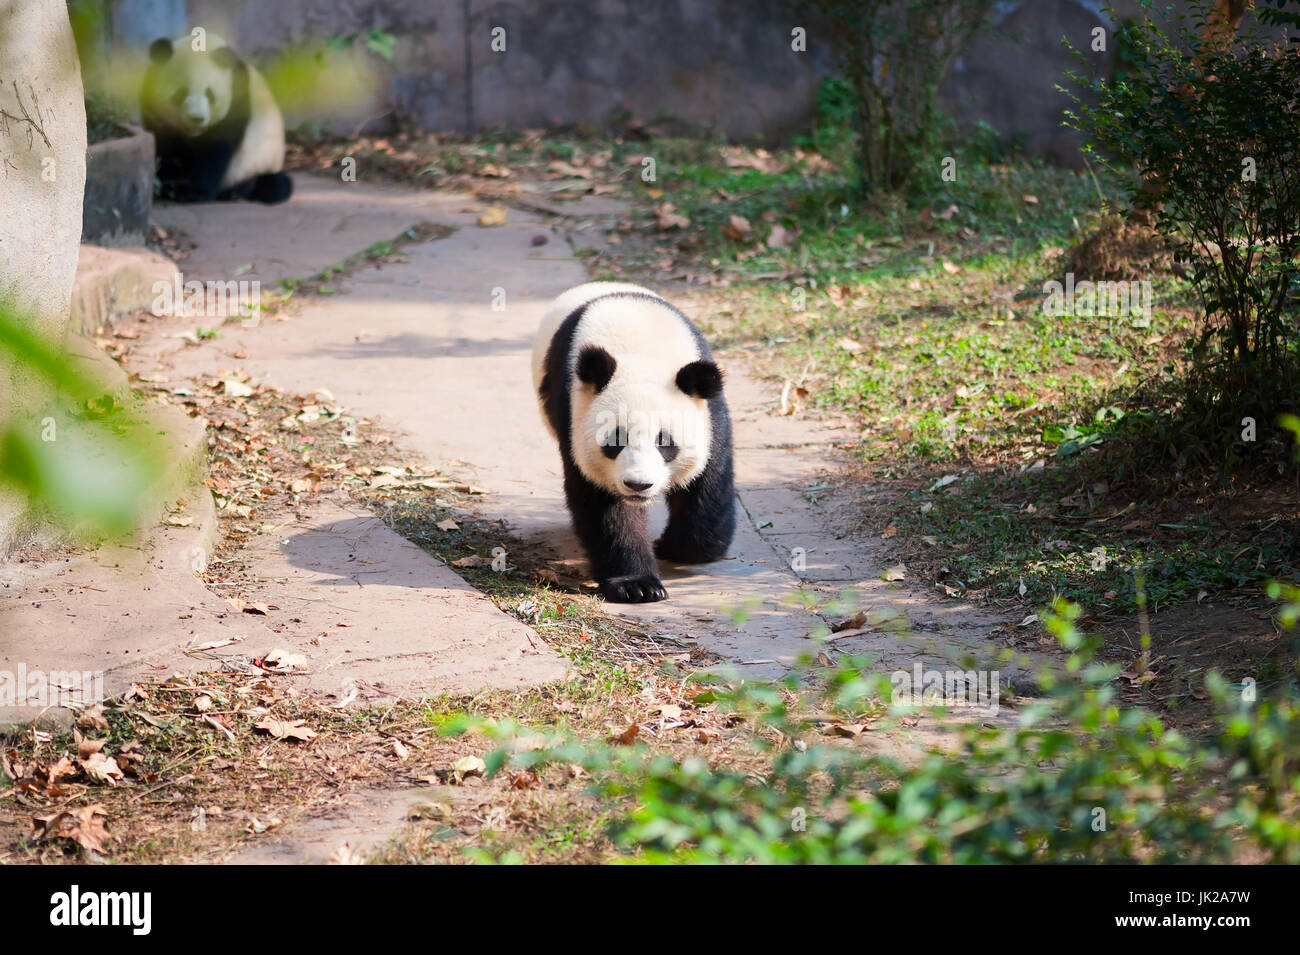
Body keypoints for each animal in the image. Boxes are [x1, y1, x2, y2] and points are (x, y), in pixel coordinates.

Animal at [140, 34, 293, 204]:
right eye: (181, 92)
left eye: (210, 94)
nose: (197, 118)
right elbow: (162, 139)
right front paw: (162, 172)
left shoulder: (236, 95)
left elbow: (215, 150)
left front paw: (192, 193)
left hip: (257, 162)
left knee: (272, 185)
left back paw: (233, 193)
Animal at [533, 282, 736, 603]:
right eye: (616, 440)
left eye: (665, 442)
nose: (638, 485)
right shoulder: (574, 411)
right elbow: (605, 506)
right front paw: (637, 585)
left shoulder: (708, 412)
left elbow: (708, 481)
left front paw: (676, 546)